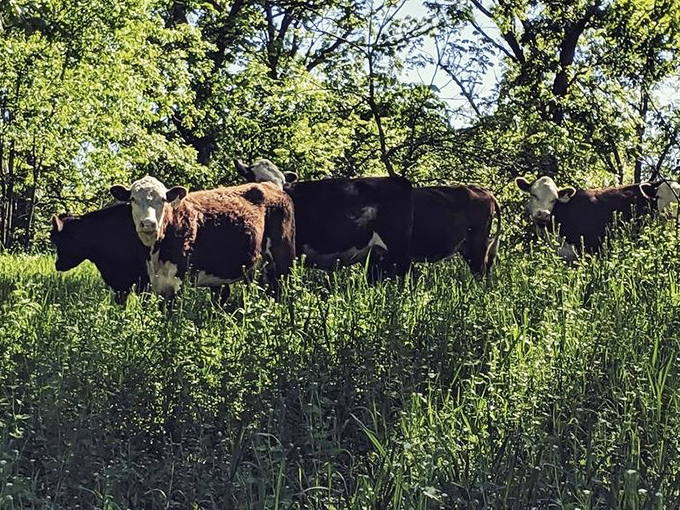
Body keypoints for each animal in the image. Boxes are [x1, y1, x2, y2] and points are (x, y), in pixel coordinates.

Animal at [109, 176, 295, 301]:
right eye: (133, 199)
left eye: (162, 199)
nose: (148, 223)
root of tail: (270, 186)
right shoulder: (159, 283)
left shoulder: (180, 280)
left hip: (284, 257)